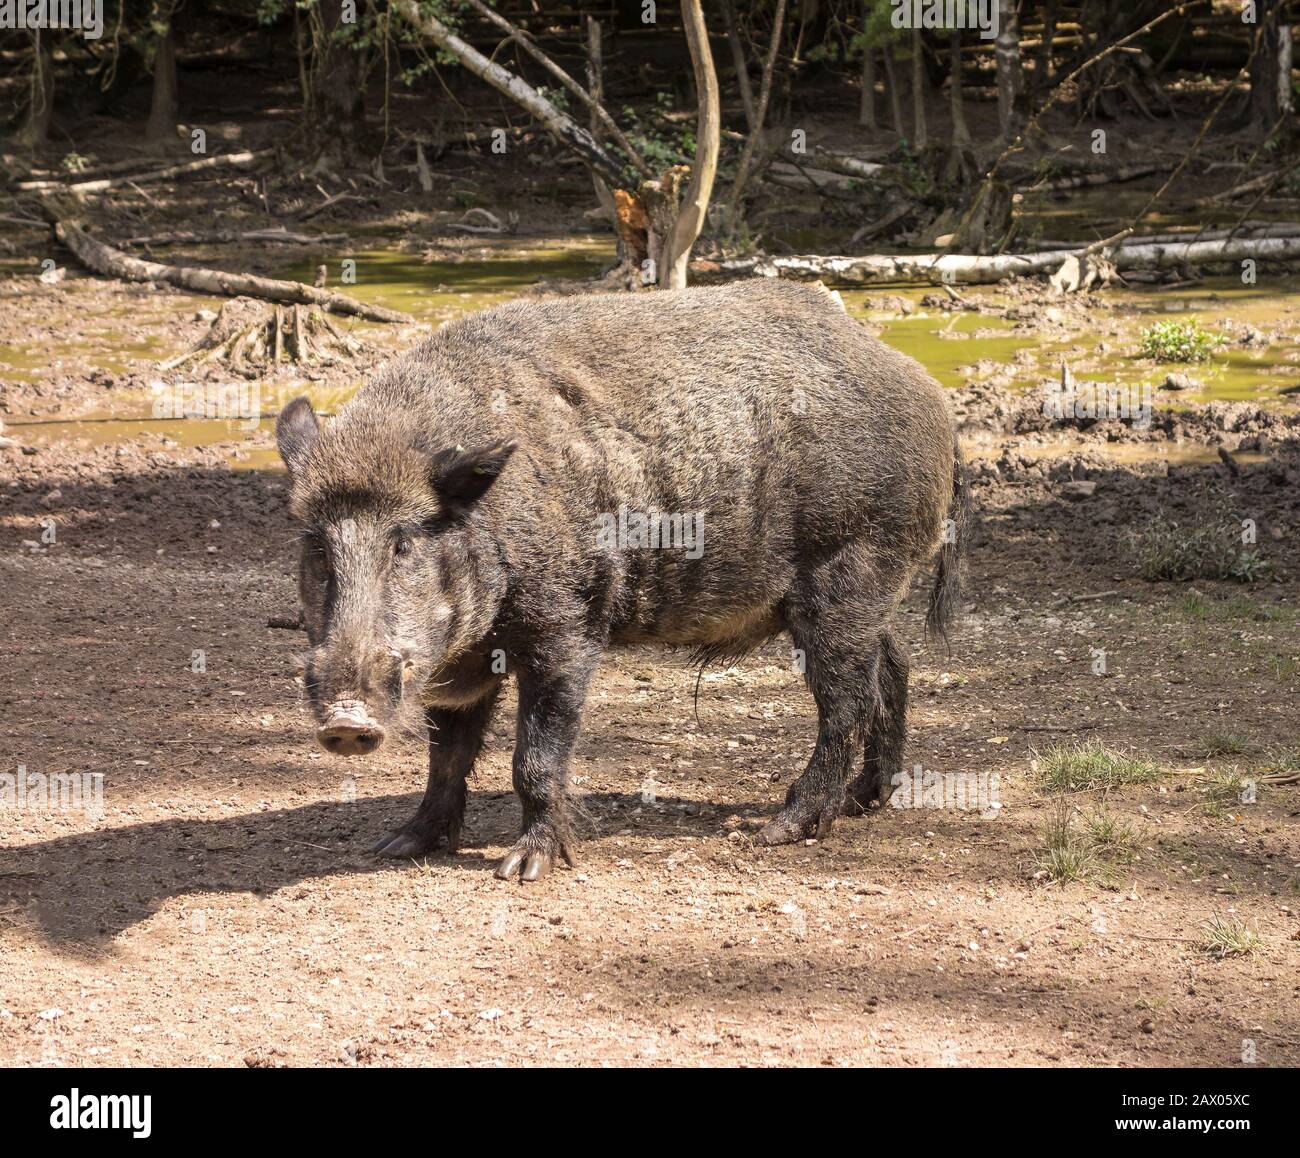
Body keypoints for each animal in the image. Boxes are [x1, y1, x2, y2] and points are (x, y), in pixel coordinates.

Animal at [276, 279, 969, 881]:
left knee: (847, 700)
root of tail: (929, 393)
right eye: (316, 543)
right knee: (894, 667)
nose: (346, 720)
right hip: (870, 588)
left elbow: (535, 755)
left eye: (404, 540)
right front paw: (397, 845)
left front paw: (521, 870)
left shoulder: (568, 623)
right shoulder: (460, 665)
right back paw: (865, 801)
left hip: (850, 567)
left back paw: (776, 829)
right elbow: (445, 754)